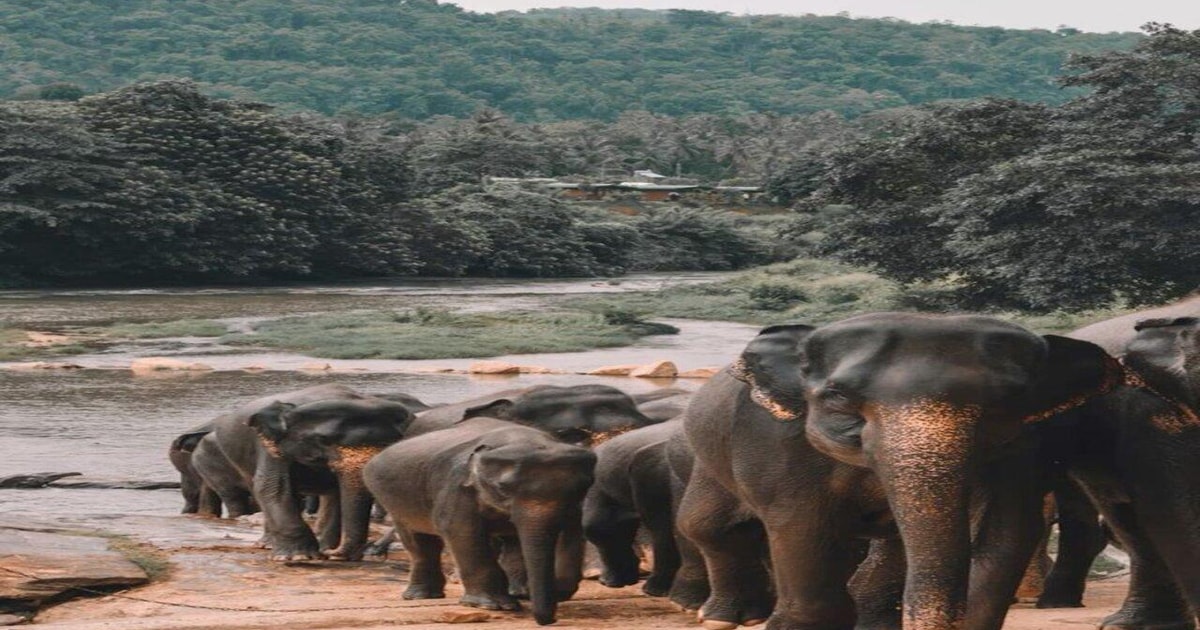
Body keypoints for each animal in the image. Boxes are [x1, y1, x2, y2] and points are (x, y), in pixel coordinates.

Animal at [205, 384, 414, 561]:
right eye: (323, 440)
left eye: (391, 442)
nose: (332, 553)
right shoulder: (267, 444)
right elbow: (272, 487)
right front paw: (299, 557)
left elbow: (338, 493)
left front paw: (325, 552)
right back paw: (269, 546)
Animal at [364, 417, 597, 626]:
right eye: (503, 487)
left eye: (582, 487)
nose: (551, 620)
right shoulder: (457, 487)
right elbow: (462, 532)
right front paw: (493, 605)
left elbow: (569, 532)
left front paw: (536, 594)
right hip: (395, 501)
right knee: (420, 542)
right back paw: (421, 596)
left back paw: (518, 592)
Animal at [676, 313, 1121, 630]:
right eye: (838, 397)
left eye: (1007, 403)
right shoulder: (777, 443)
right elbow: (801, 525)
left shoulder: (1025, 448)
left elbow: (1006, 532)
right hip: (709, 457)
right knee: (708, 526)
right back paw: (725, 619)